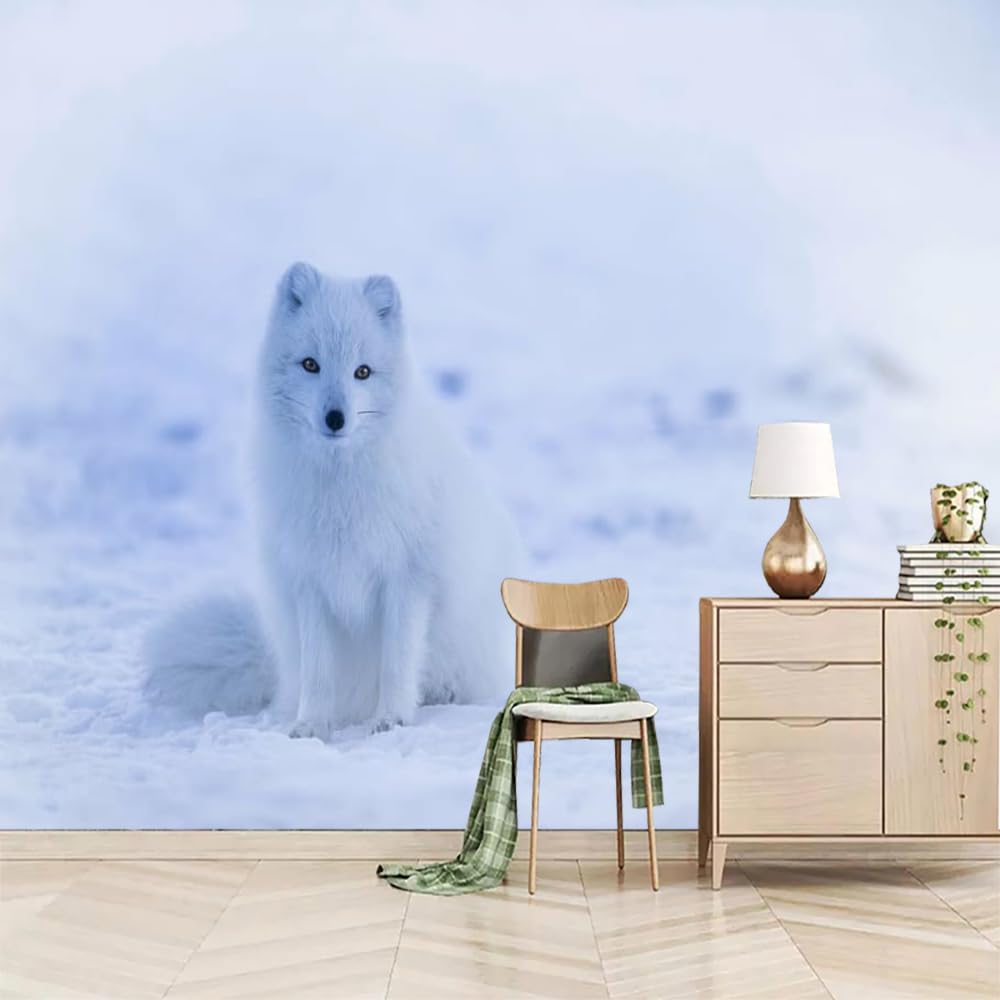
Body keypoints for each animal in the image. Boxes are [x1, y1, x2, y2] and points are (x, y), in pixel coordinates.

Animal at [144, 263, 523, 738]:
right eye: (311, 364)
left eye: (362, 372)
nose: (335, 418)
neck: (339, 486)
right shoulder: (310, 580)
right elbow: (319, 670)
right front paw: (310, 725)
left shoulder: (407, 579)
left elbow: (397, 662)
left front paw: (392, 718)